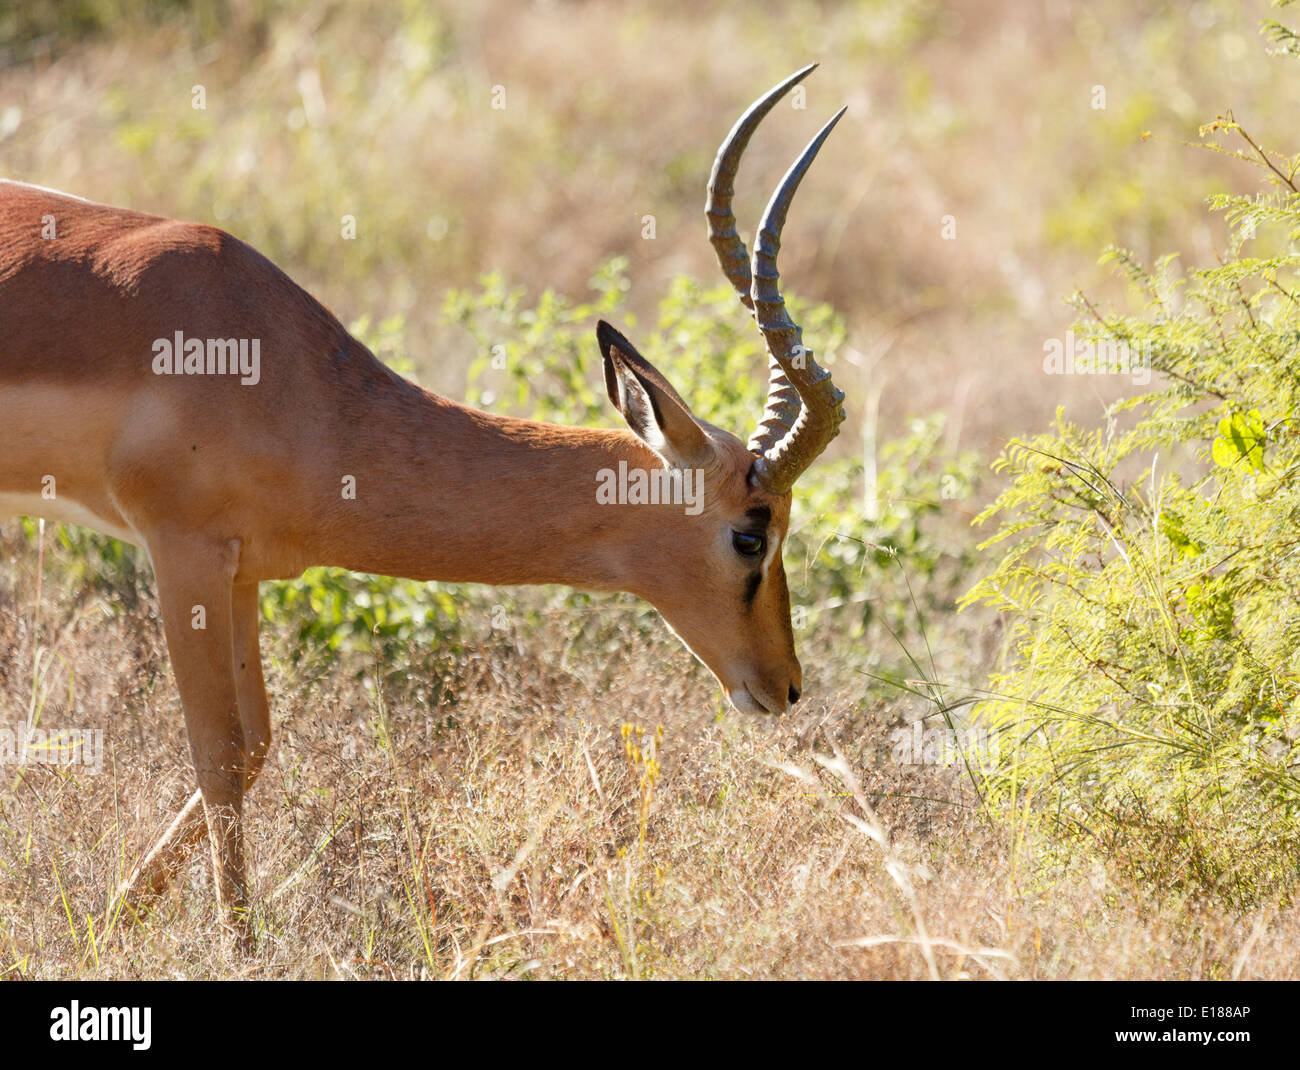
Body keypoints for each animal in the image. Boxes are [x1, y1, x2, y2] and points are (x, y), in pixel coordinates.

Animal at [0, 66, 846, 923]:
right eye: (751, 533)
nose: (786, 686)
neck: (297, 387)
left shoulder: (241, 573)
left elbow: (254, 744)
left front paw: (110, 925)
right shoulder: (183, 556)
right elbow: (217, 752)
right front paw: (236, 939)